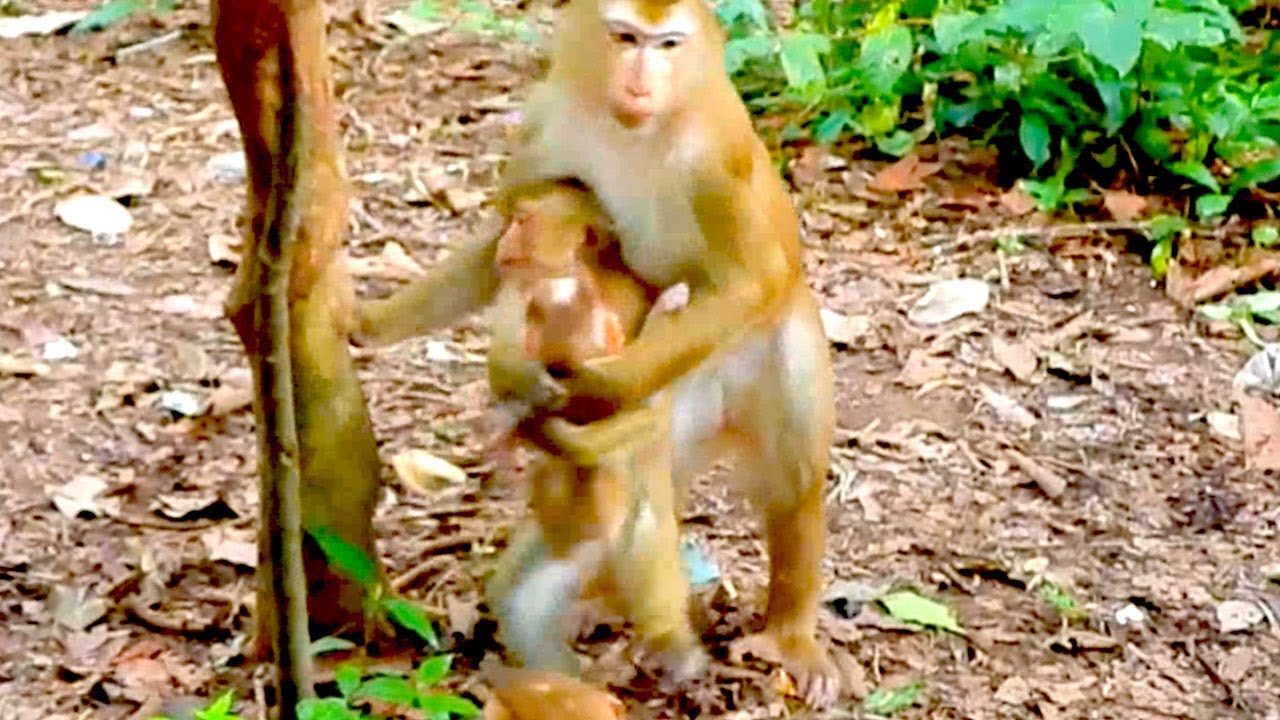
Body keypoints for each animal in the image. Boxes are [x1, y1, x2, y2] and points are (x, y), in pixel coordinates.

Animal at [355, 0, 840, 706]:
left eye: (668, 45)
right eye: (624, 38)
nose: (640, 81)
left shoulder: (717, 155)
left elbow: (750, 277)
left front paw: (594, 386)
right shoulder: (544, 122)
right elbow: (500, 246)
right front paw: (371, 323)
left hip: (765, 348)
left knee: (791, 474)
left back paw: (788, 632)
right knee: (632, 489)